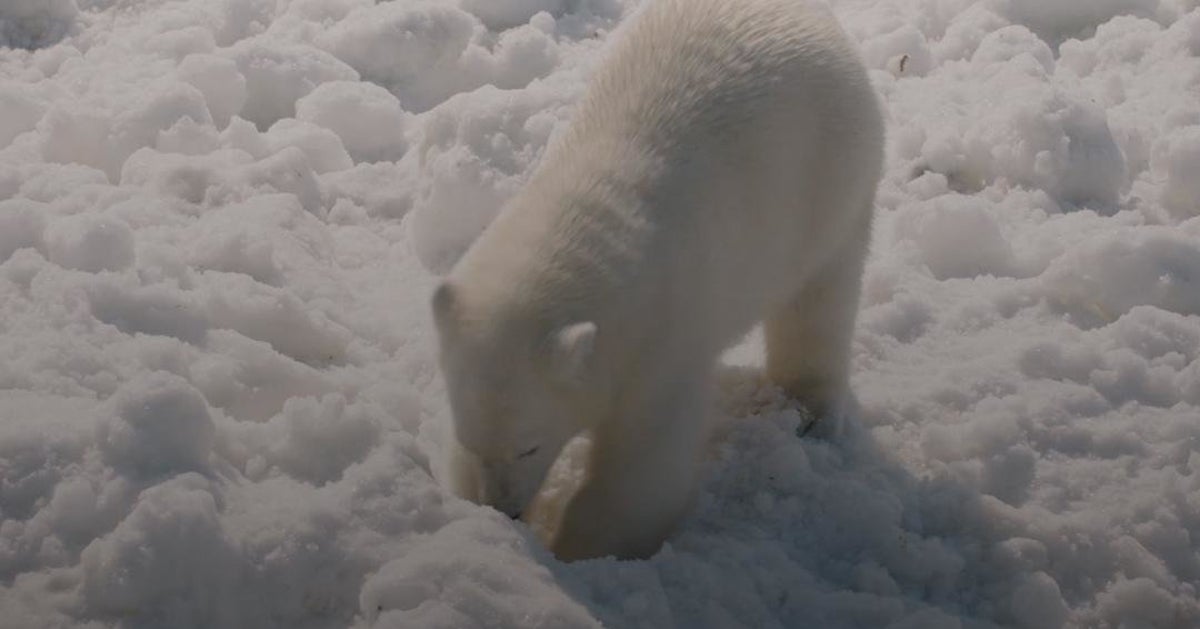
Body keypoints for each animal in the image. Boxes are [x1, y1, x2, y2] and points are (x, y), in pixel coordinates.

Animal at [432, 0, 884, 561]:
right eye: (473, 441)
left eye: (529, 445)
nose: (507, 509)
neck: (599, 217)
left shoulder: (662, 338)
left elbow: (642, 470)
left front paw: (578, 550)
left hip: (829, 174)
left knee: (819, 301)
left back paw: (809, 412)